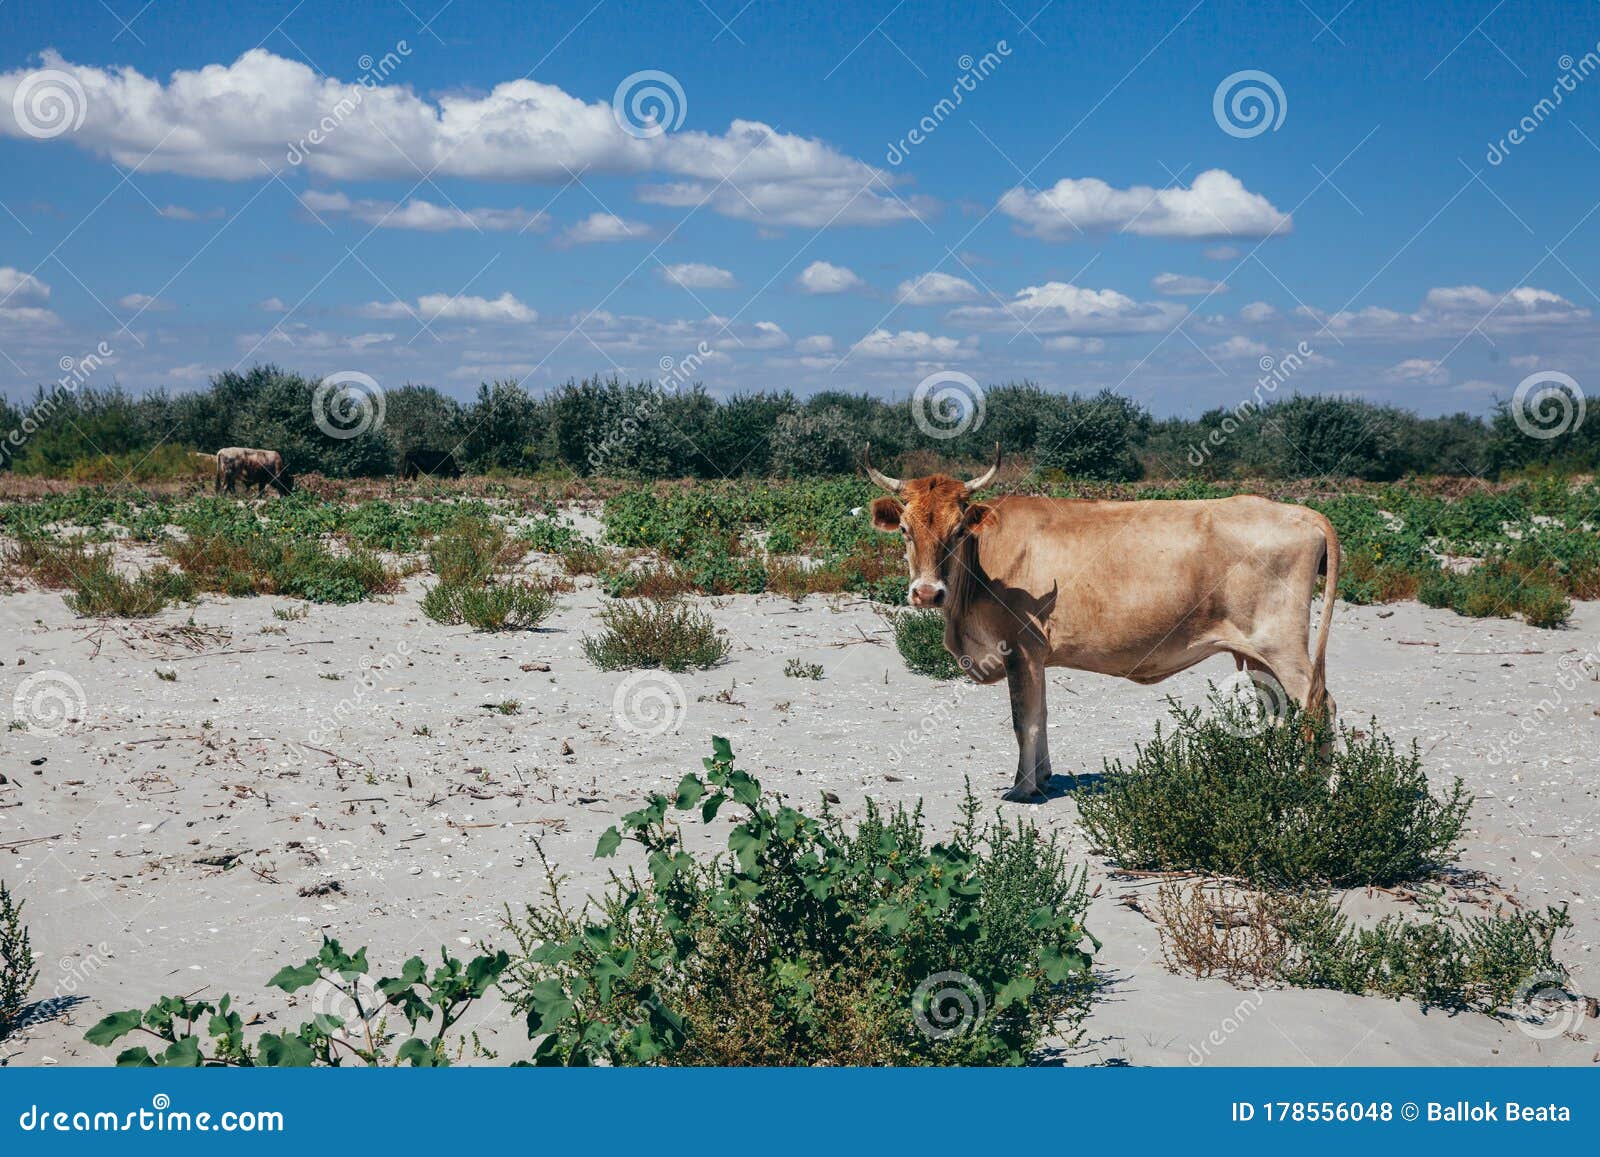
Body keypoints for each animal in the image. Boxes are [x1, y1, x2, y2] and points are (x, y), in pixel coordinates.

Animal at [865, 445, 1339, 800]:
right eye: (905, 529)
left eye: (960, 530)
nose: (927, 593)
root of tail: (1299, 512)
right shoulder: (1036, 657)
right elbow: (1041, 712)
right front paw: (1043, 778)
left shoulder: (1020, 649)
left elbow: (1024, 719)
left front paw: (1022, 789)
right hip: (1256, 653)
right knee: (1278, 709)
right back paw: (1273, 775)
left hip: (1283, 646)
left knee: (1318, 703)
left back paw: (1315, 785)